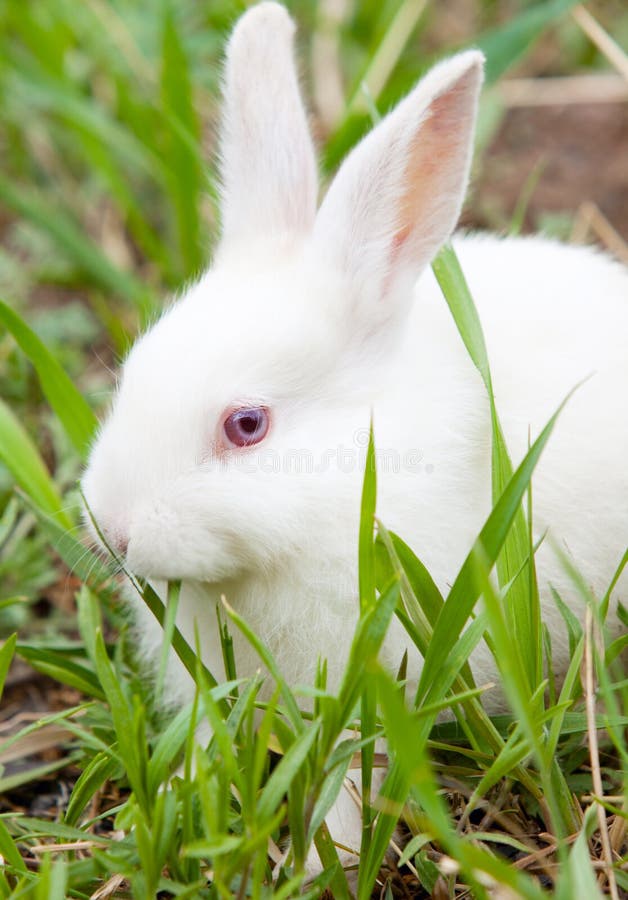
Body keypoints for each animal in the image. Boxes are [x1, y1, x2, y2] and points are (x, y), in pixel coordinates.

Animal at [82, 0, 628, 879]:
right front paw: (172, 807)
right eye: (131, 372)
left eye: (247, 425)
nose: (116, 532)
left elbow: (349, 781)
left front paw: (315, 866)